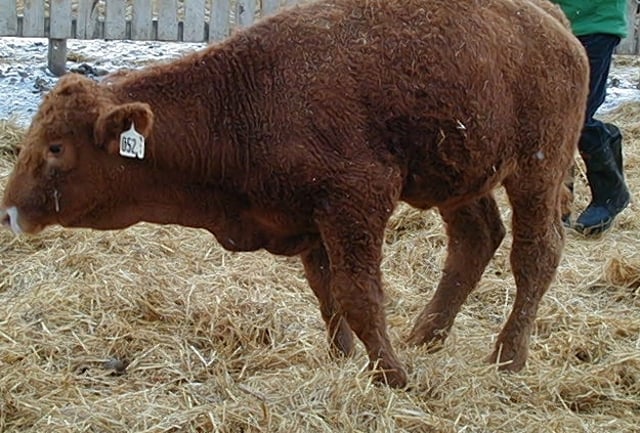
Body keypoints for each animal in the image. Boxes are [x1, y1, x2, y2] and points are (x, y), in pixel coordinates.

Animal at [0, 0, 588, 388]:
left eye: (56, 147)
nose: (10, 211)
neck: (244, 97)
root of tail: (550, 20)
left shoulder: (356, 204)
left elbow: (359, 296)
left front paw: (392, 377)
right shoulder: (310, 221)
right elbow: (327, 295)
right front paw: (346, 359)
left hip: (537, 171)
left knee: (535, 255)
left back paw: (508, 359)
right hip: (461, 179)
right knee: (475, 241)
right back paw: (425, 337)